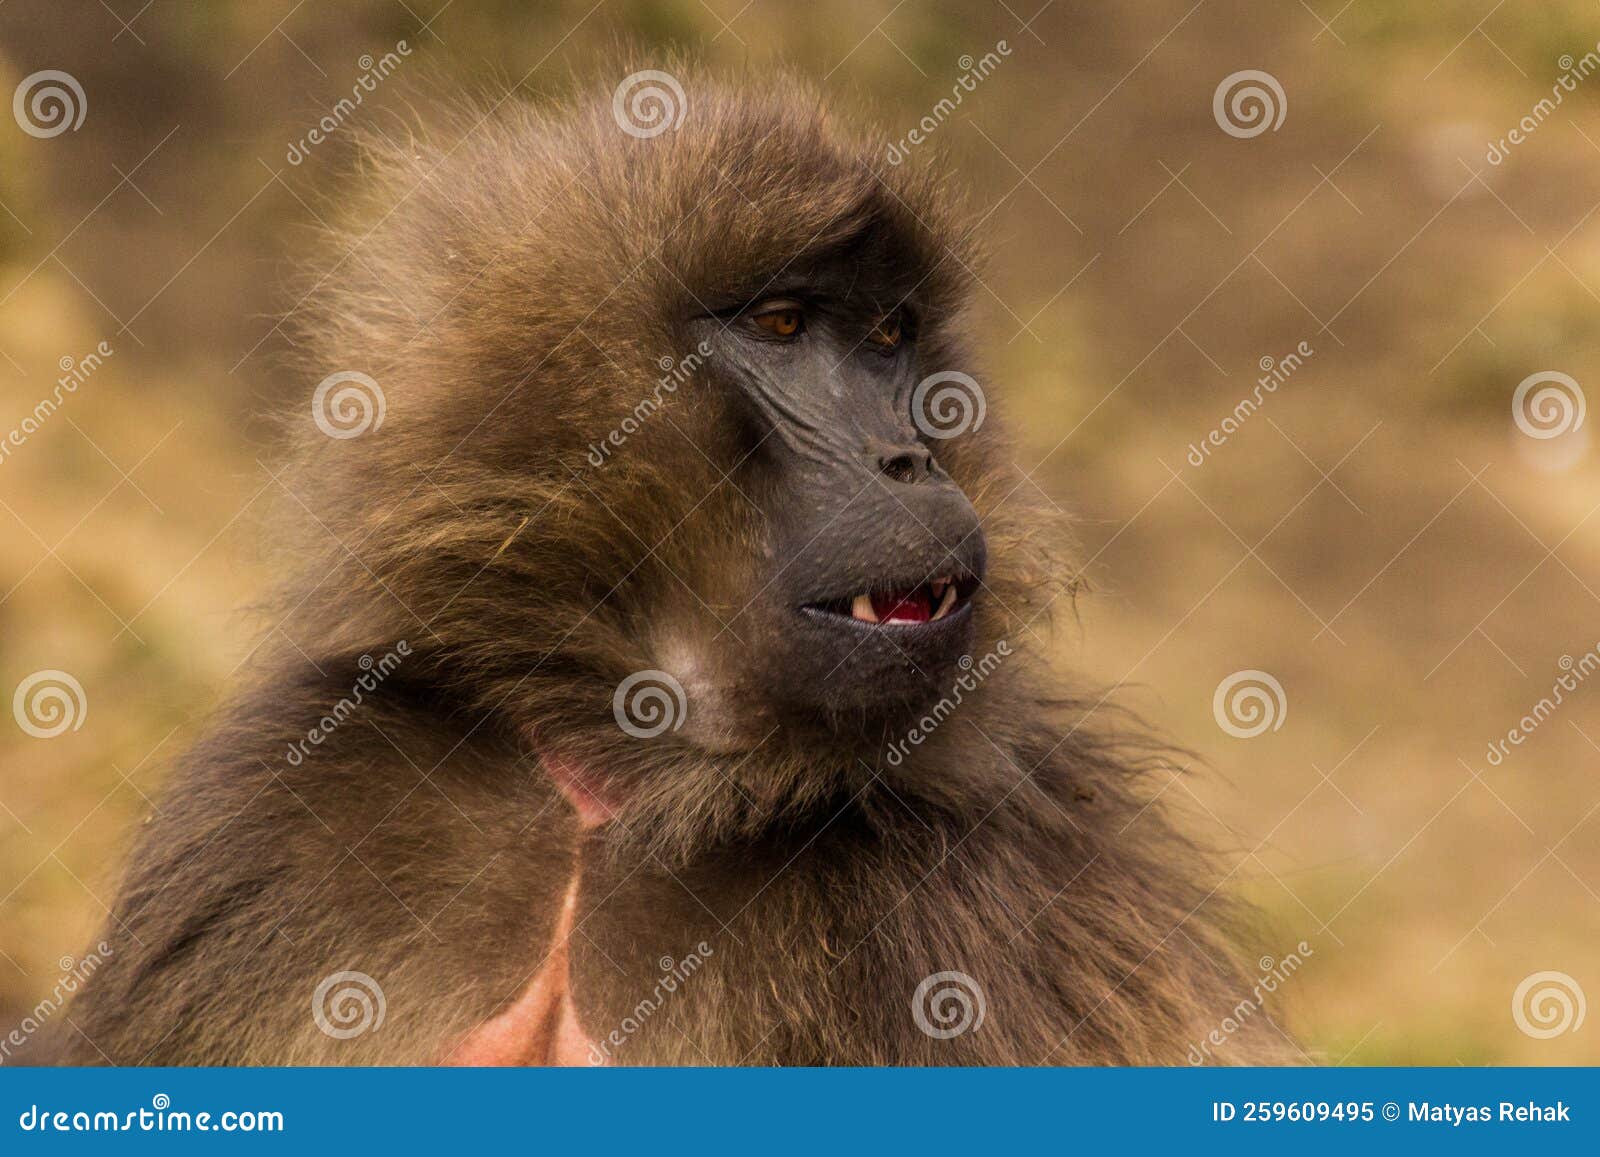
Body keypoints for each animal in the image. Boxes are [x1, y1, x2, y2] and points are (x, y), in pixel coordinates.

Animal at [27, 64, 1296, 1066]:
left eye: (890, 337)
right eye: (783, 326)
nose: (911, 453)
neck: (630, 786)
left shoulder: (1012, 894)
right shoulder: (285, 802)